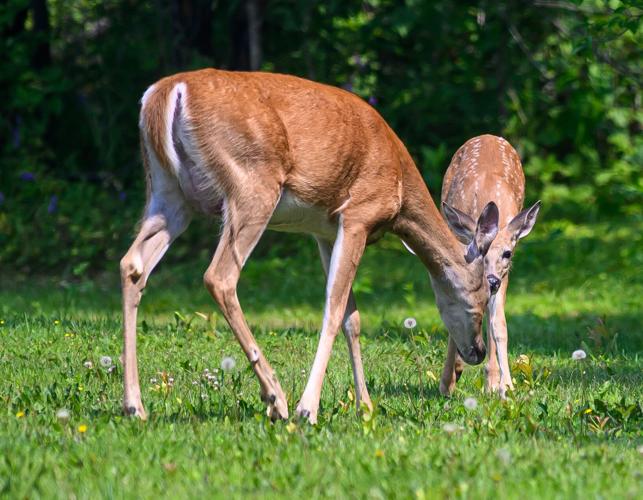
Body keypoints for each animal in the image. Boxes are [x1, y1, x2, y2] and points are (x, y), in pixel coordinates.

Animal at [120, 68, 500, 424]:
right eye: (484, 291)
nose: (478, 351)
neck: (401, 192)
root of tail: (165, 93)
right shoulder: (359, 213)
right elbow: (334, 307)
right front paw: (309, 409)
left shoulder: (325, 232)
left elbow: (352, 318)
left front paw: (365, 406)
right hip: (251, 184)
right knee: (219, 276)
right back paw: (277, 399)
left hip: (169, 192)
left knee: (132, 264)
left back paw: (134, 406)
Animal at [439, 135, 541, 398]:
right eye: (476, 254)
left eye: (507, 253)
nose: (492, 281)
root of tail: (487, 136)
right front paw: (447, 382)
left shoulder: (505, 274)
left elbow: (499, 326)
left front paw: (506, 386)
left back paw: (491, 380)